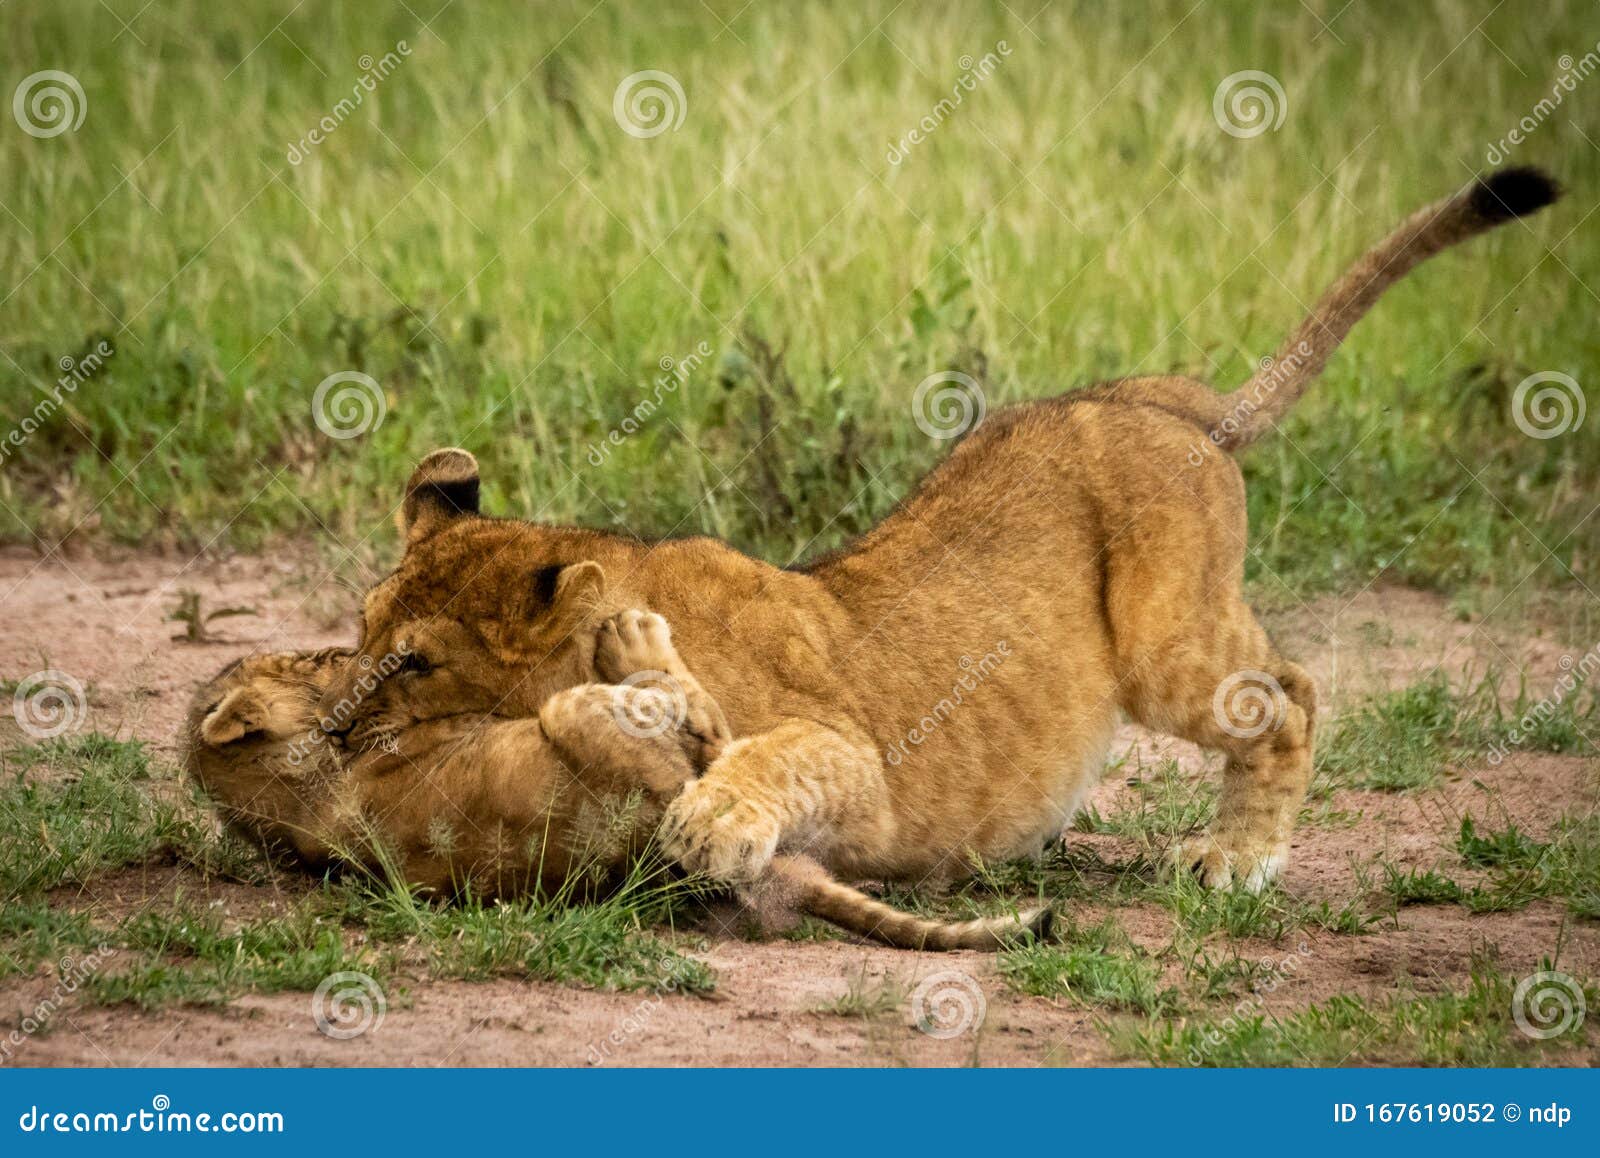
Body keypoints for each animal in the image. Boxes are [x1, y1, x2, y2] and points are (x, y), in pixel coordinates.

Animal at [185, 611, 1049, 951]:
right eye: (318, 660)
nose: (354, 651)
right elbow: (702, 727)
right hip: (621, 771)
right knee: (701, 730)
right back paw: (638, 645)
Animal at [314, 167, 1560, 894]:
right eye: (362, 629)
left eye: (416, 664)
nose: (330, 733)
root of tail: (1162, 402)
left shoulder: (855, 759)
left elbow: (774, 754)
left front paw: (714, 823)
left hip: (1169, 649)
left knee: (1289, 693)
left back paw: (1236, 860)